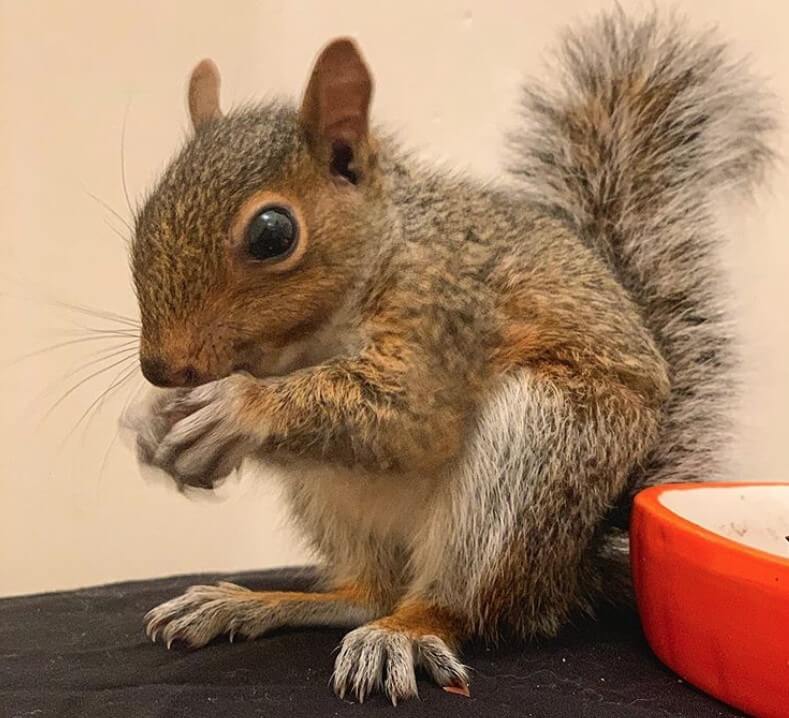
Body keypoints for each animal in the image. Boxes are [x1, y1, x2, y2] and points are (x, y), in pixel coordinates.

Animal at [128, 8, 775, 704]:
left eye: (272, 233)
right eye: (144, 217)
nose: (159, 367)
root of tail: (572, 569)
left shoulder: (446, 315)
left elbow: (413, 418)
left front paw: (241, 407)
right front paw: (152, 420)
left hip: (542, 443)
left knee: (457, 605)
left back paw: (403, 633)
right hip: (334, 497)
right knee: (367, 593)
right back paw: (249, 603)